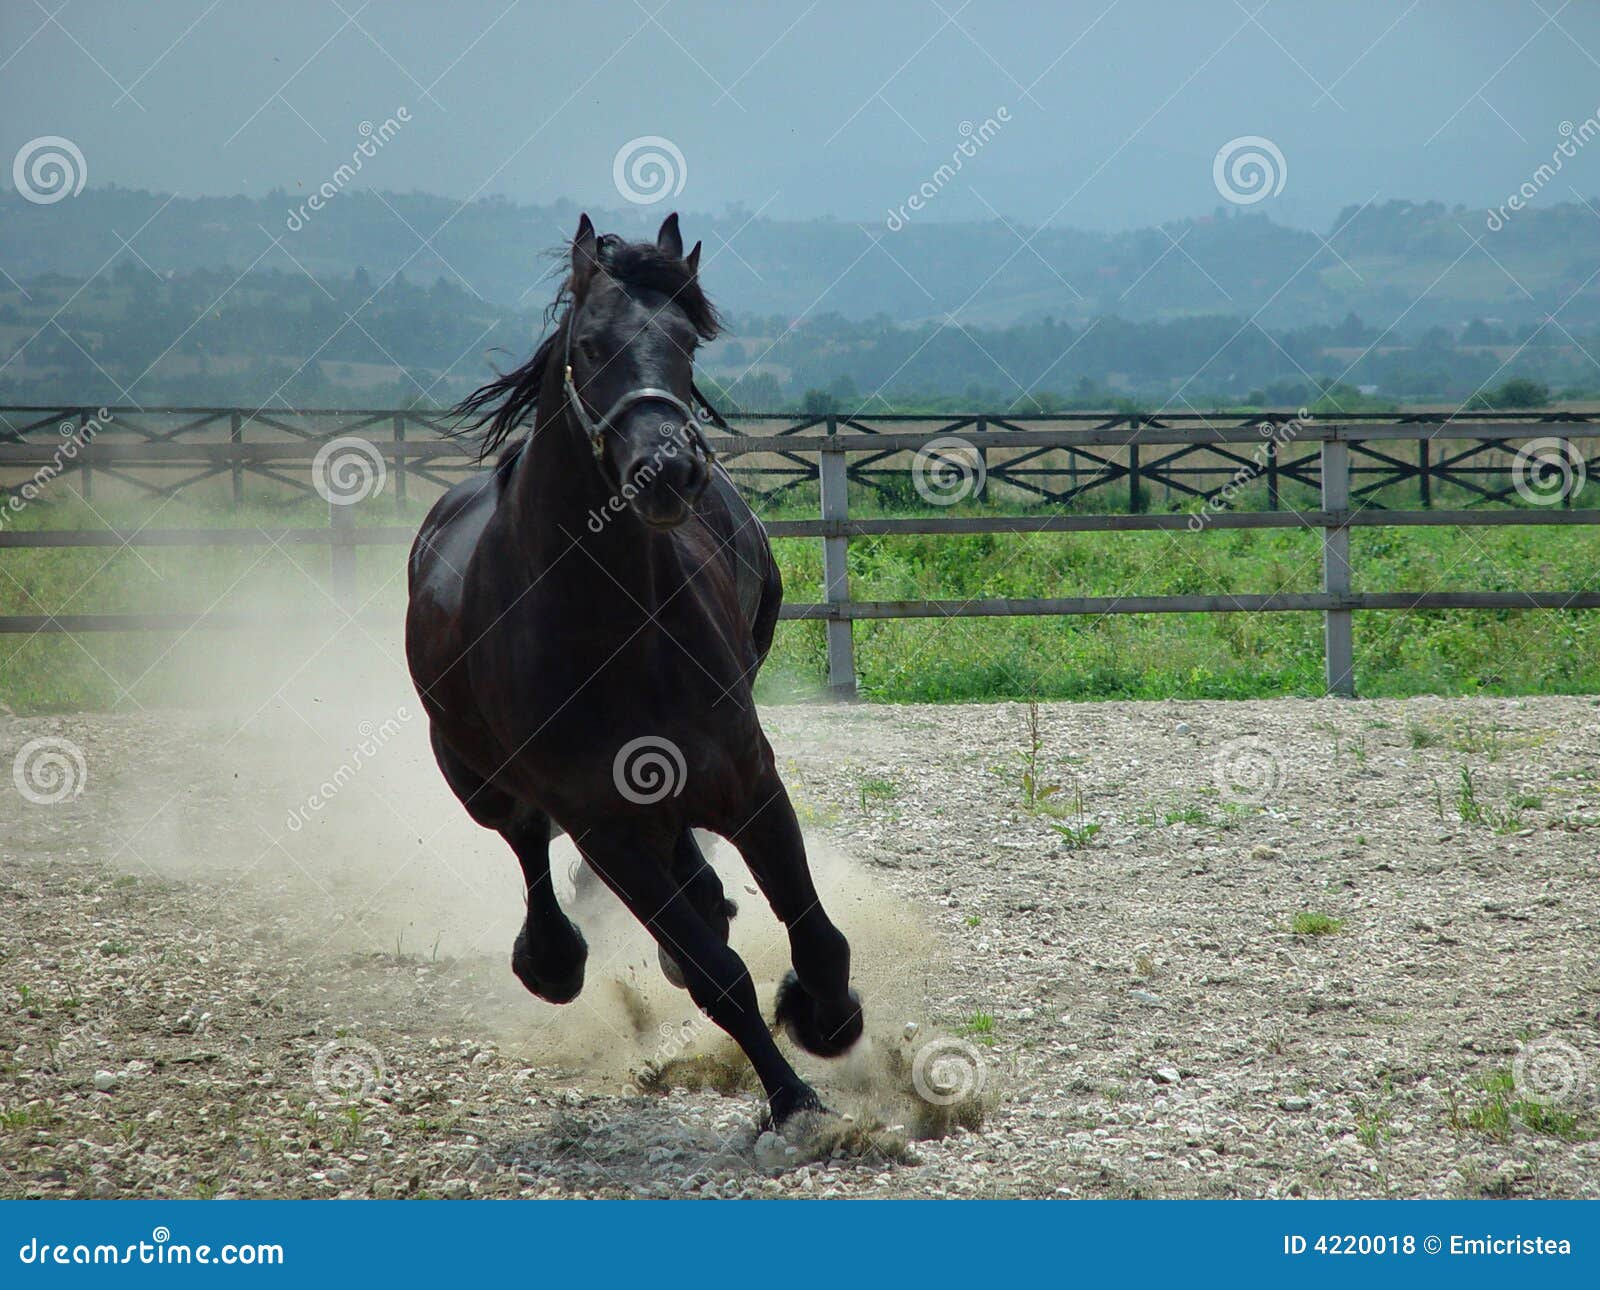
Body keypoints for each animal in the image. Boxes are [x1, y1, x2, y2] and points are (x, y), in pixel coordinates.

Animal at [405, 212, 864, 1127]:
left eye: (687, 342)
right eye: (590, 344)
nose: (668, 470)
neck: (612, 629)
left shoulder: (749, 780)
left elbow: (815, 933)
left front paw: (826, 1018)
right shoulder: (601, 825)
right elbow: (720, 978)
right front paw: (792, 1101)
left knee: (684, 863)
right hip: (477, 782)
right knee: (527, 846)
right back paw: (552, 958)